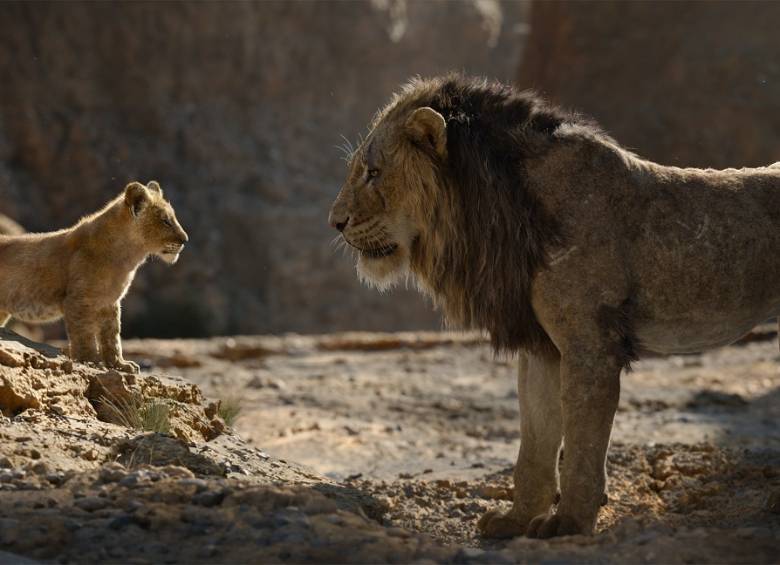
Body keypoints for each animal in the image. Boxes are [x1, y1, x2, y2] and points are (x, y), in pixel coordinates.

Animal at [0, 181, 188, 373]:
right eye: (166, 221)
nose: (185, 240)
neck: (127, 257)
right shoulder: (77, 301)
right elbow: (85, 334)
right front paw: (91, 361)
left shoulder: (110, 302)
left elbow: (113, 336)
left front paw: (120, 364)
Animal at [328, 74, 780, 538]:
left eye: (373, 173)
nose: (335, 222)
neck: (496, 213)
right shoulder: (542, 347)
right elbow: (535, 442)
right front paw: (515, 519)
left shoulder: (590, 345)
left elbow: (581, 443)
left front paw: (569, 523)